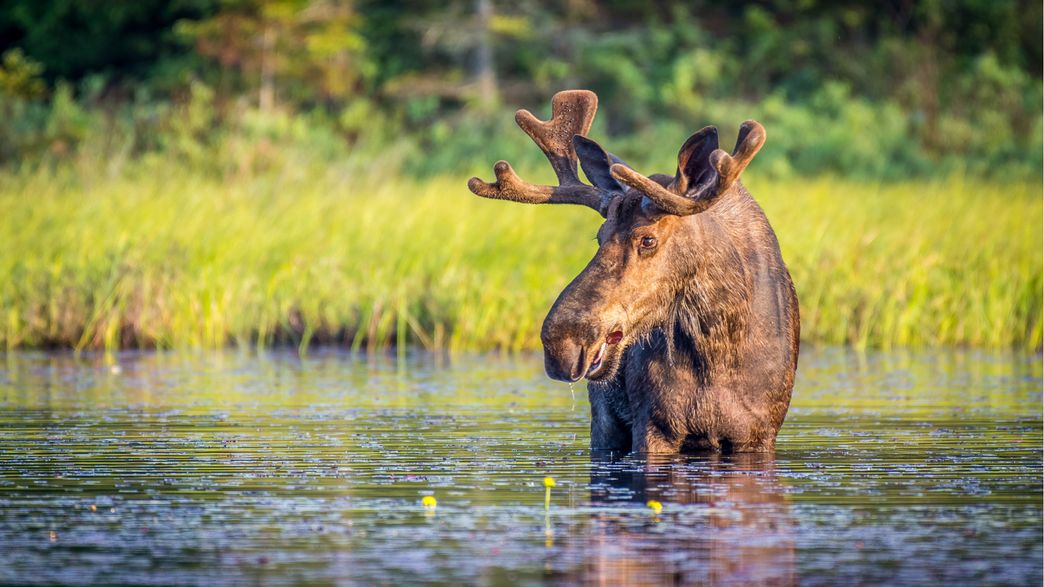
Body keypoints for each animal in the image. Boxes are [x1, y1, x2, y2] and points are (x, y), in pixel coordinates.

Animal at [467, 90, 799, 454]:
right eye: (599, 236)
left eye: (648, 239)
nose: (561, 343)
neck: (720, 351)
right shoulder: (653, 425)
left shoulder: (758, 433)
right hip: (604, 421)